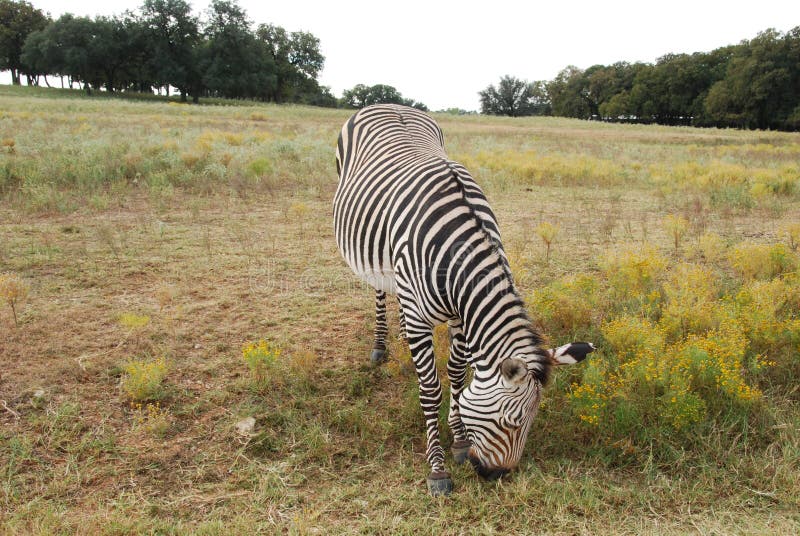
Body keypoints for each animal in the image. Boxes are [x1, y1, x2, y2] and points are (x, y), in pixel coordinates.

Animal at [334, 104, 594, 495]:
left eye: (532, 422)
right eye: (511, 420)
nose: (497, 475)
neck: (458, 248)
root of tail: (391, 105)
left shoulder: (462, 316)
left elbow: (457, 374)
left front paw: (458, 439)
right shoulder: (426, 315)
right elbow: (431, 390)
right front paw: (438, 468)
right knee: (380, 292)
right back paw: (380, 346)